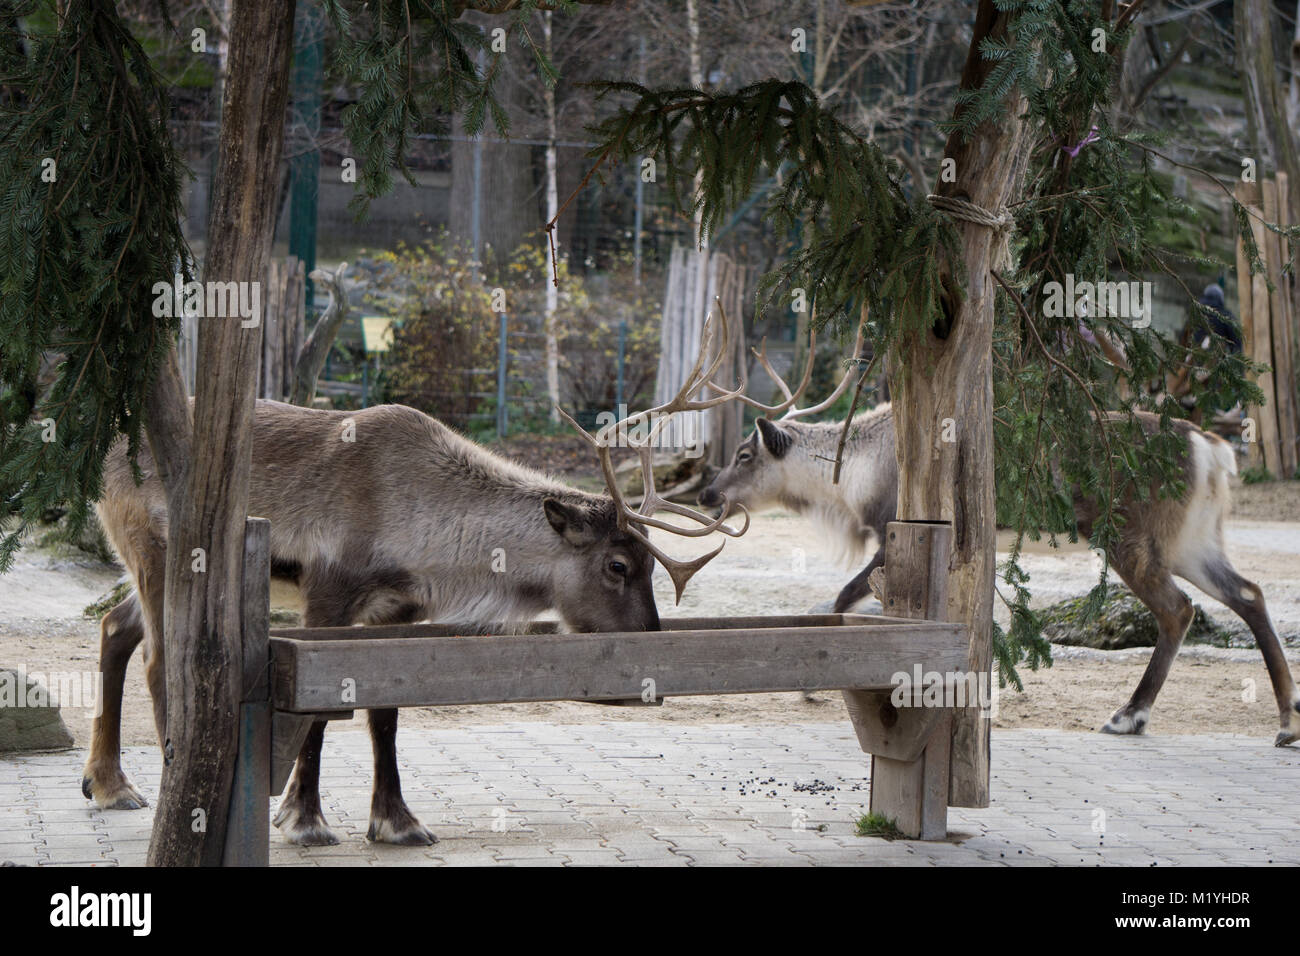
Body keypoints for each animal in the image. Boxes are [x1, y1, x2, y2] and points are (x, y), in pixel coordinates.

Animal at [82, 303, 778, 847]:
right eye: (617, 564)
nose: (654, 659)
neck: (429, 533)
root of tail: (107, 451)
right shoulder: (327, 595)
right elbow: (318, 714)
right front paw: (303, 819)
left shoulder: (400, 609)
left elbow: (385, 713)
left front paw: (396, 822)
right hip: (158, 552)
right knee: (159, 660)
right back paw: (165, 779)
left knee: (115, 627)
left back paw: (108, 783)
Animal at [699, 332, 1300, 747]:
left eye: (745, 455)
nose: (707, 493)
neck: (856, 475)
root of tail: (1212, 450)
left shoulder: (891, 535)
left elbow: (846, 596)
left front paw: (815, 682)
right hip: (1191, 542)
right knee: (1249, 594)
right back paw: (1286, 721)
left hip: (1133, 540)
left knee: (1179, 609)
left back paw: (1129, 715)